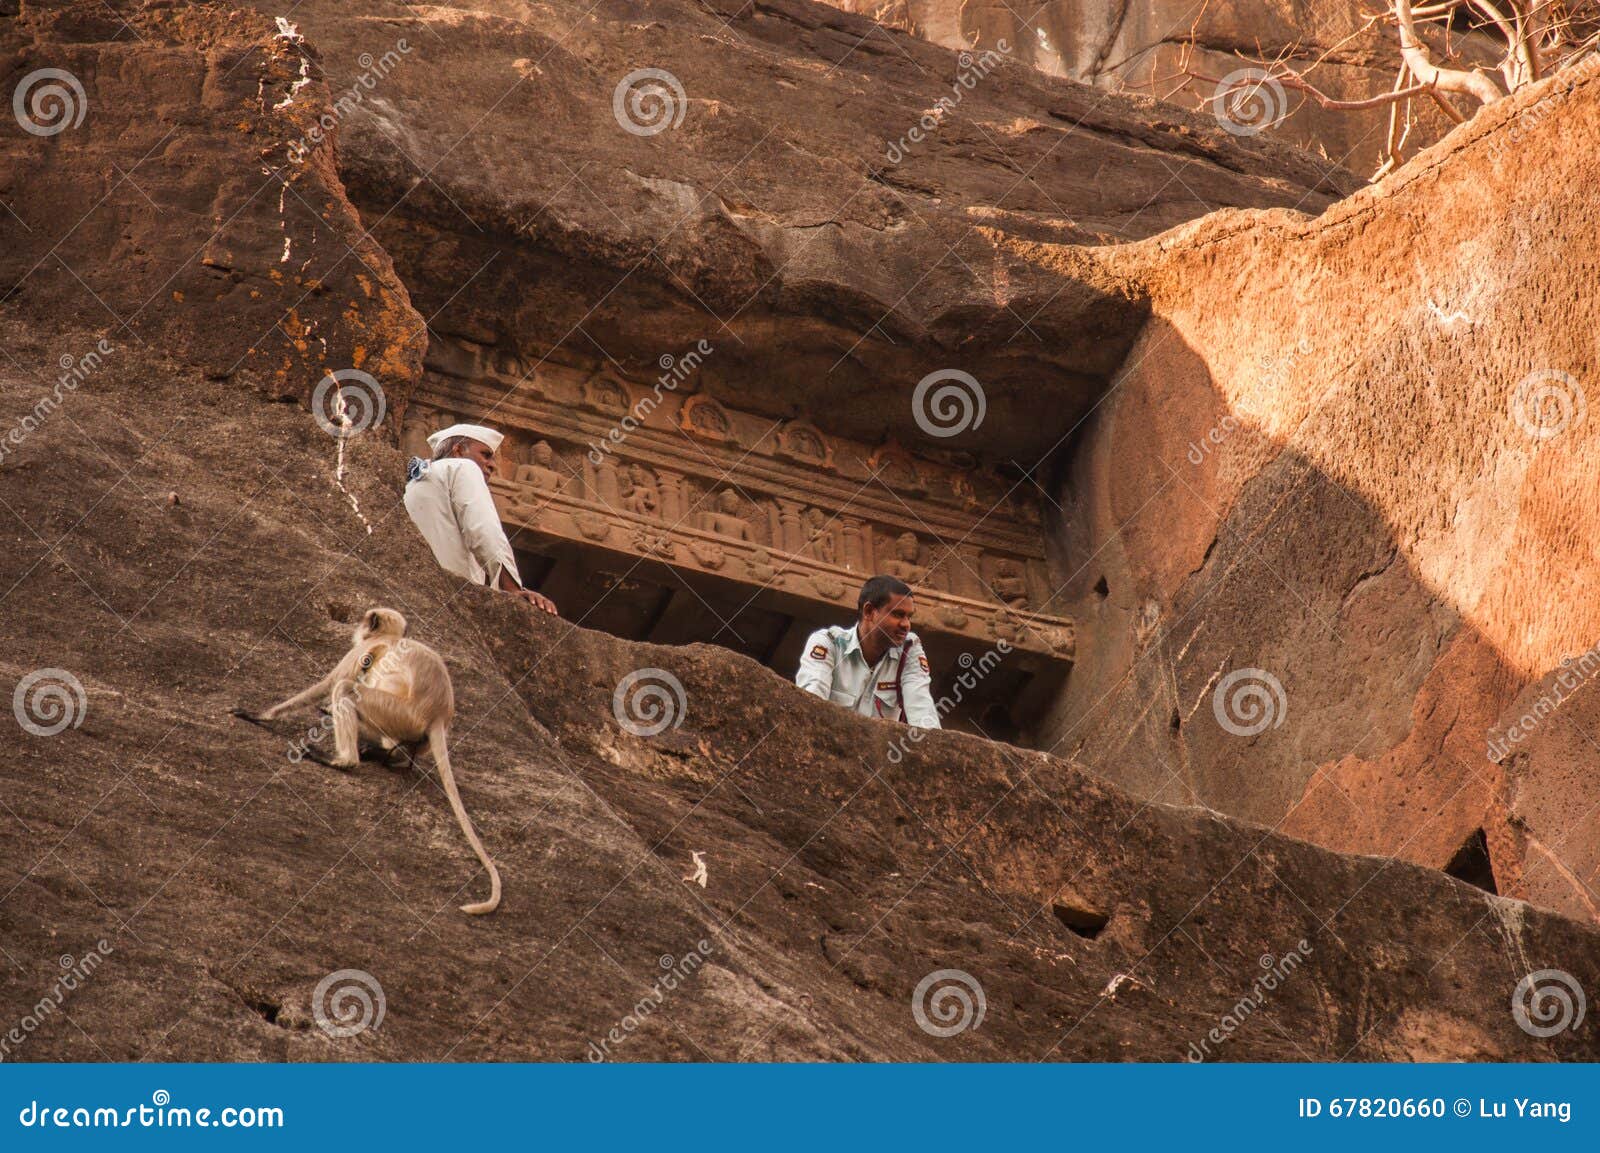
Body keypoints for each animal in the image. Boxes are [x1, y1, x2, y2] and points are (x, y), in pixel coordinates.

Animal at [232, 608, 501, 915]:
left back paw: (344, 760)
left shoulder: (361, 652)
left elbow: (329, 683)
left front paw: (259, 715)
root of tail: (439, 715)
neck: (388, 638)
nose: (357, 629)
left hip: (396, 711)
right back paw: (390, 755)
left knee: (347, 687)